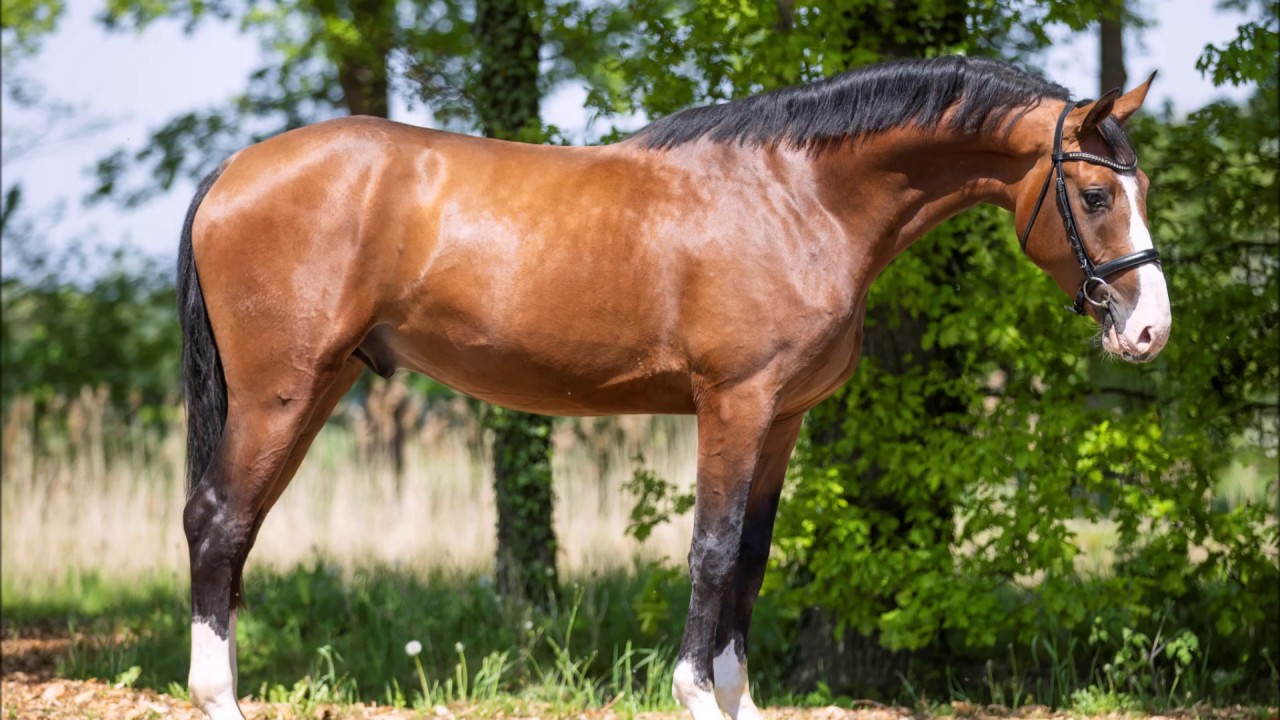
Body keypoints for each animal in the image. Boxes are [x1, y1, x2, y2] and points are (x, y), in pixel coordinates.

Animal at [176, 55, 1169, 720]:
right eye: (1093, 197)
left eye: (1144, 188)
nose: (1150, 330)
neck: (799, 196)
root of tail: (233, 170)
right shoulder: (733, 405)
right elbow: (713, 553)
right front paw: (696, 693)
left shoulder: (783, 420)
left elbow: (752, 563)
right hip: (281, 391)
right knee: (220, 524)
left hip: (315, 389)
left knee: (235, 530)